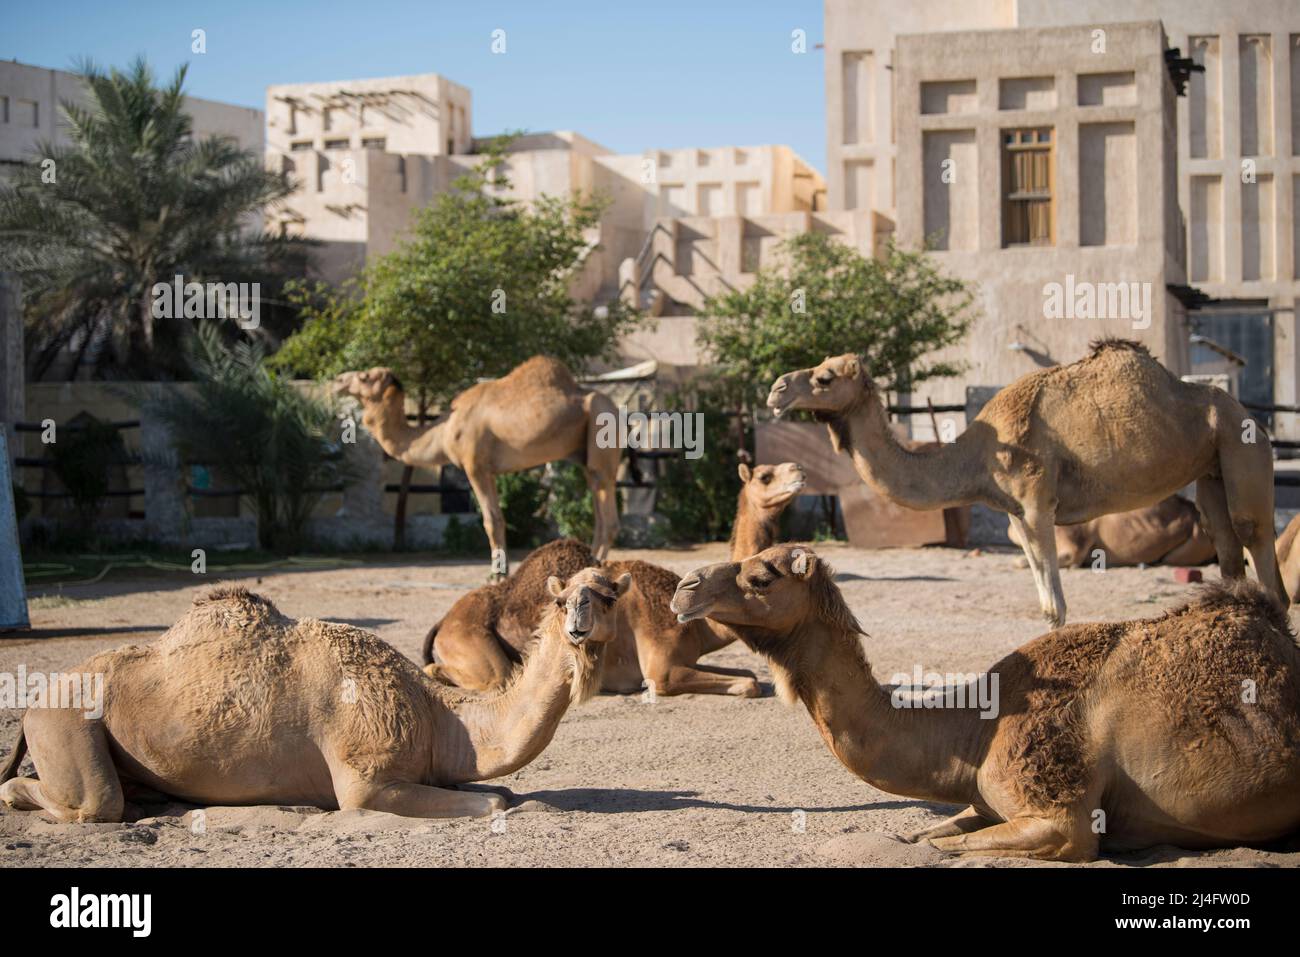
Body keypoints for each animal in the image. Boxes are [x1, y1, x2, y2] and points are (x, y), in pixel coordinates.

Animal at [0, 570, 630, 822]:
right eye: (560, 599)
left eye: (606, 594)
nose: (576, 622)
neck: (437, 715)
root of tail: (34, 699)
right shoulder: (366, 781)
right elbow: (496, 802)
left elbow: (503, 791)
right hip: (65, 721)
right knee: (91, 801)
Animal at [334, 356, 620, 576]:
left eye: (365, 376)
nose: (337, 381)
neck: (444, 429)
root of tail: (618, 410)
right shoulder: (489, 471)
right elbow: (498, 519)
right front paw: (501, 572)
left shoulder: (475, 466)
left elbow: (490, 520)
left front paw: (496, 576)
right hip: (584, 456)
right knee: (598, 510)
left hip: (600, 433)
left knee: (608, 517)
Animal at [422, 460, 806, 696]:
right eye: (764, 477)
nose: (799, 469)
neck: (700, 625)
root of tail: (443, 621)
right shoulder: (662, 672)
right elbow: (749, 685)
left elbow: (750, 676)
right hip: (475, 649)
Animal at [669, 544, 1300, 860]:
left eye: (762, 577)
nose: (683, 587)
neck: (974, 729)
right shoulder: (981, 799)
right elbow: (923, 836)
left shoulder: (1061, 818)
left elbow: (948, 850)